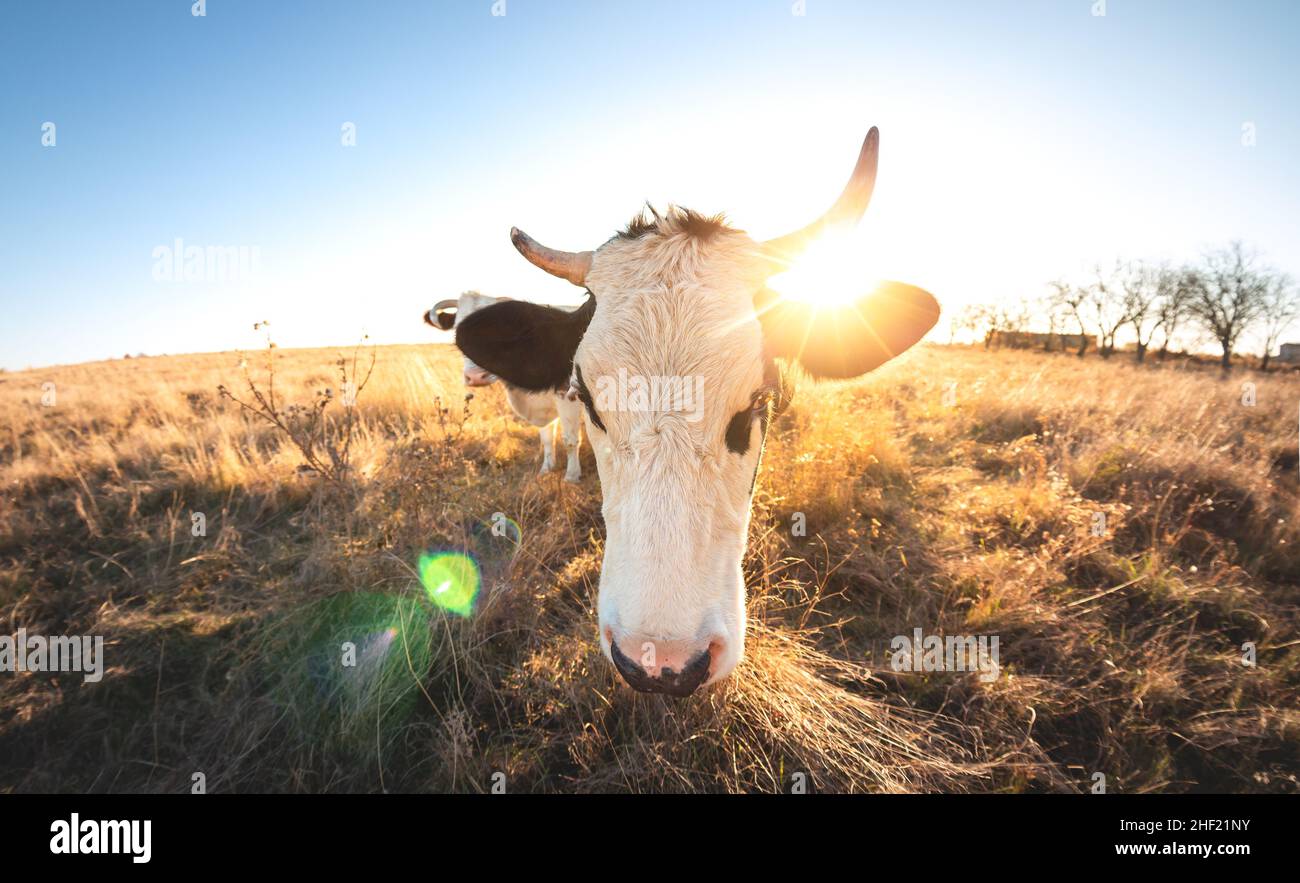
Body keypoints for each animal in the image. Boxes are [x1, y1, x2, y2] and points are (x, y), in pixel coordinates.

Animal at [425, 291, 585, 482]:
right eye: (457, 331)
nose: (475, 377)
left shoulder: (568, 396)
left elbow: (570, 439)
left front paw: (572, 477)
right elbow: (546, 437)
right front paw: (546, 469)